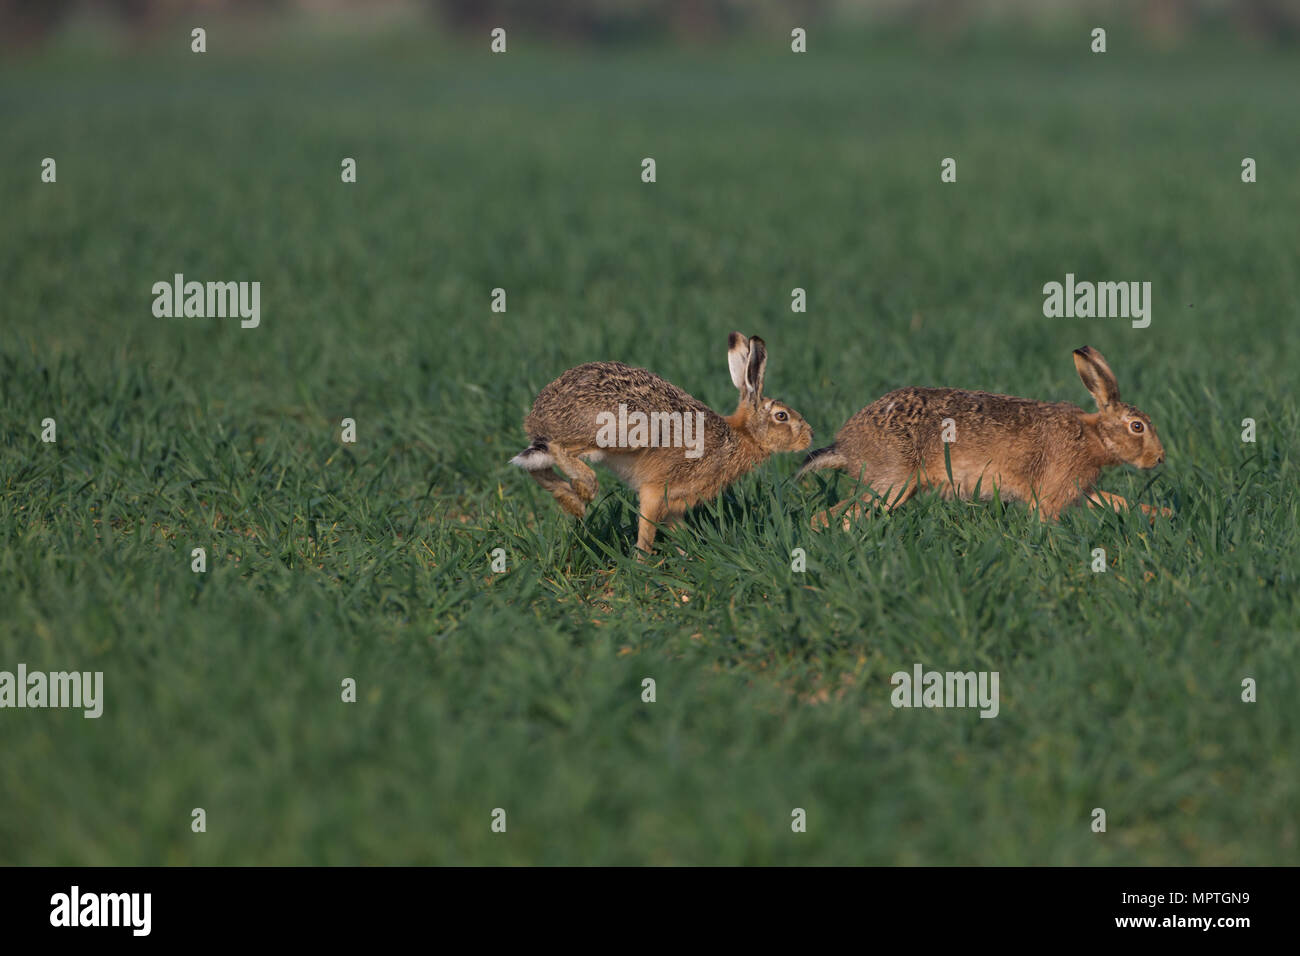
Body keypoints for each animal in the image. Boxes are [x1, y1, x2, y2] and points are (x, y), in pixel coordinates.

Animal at [511, 332, 813, 552]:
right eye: (782, 416)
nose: (809, 436)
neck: (741, 435)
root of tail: (538, 417)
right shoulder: (656, 492)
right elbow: (647, 530)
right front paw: (641, 563)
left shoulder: (675, 504)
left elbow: (680, 533)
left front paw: (690, 555)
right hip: (620, 434)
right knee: (559, 448)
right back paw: (583, 493)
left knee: (538, 464)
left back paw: (569, 499)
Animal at [798, 346, 1169, 529]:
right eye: (1138, 426)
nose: (1160, 458)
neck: (1094, 436)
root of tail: (847, 442)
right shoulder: (1051, 494)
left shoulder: (1080, 491)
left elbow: (1116, 503)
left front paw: (1162, 515)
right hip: (891, 482)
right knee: (836, 517)